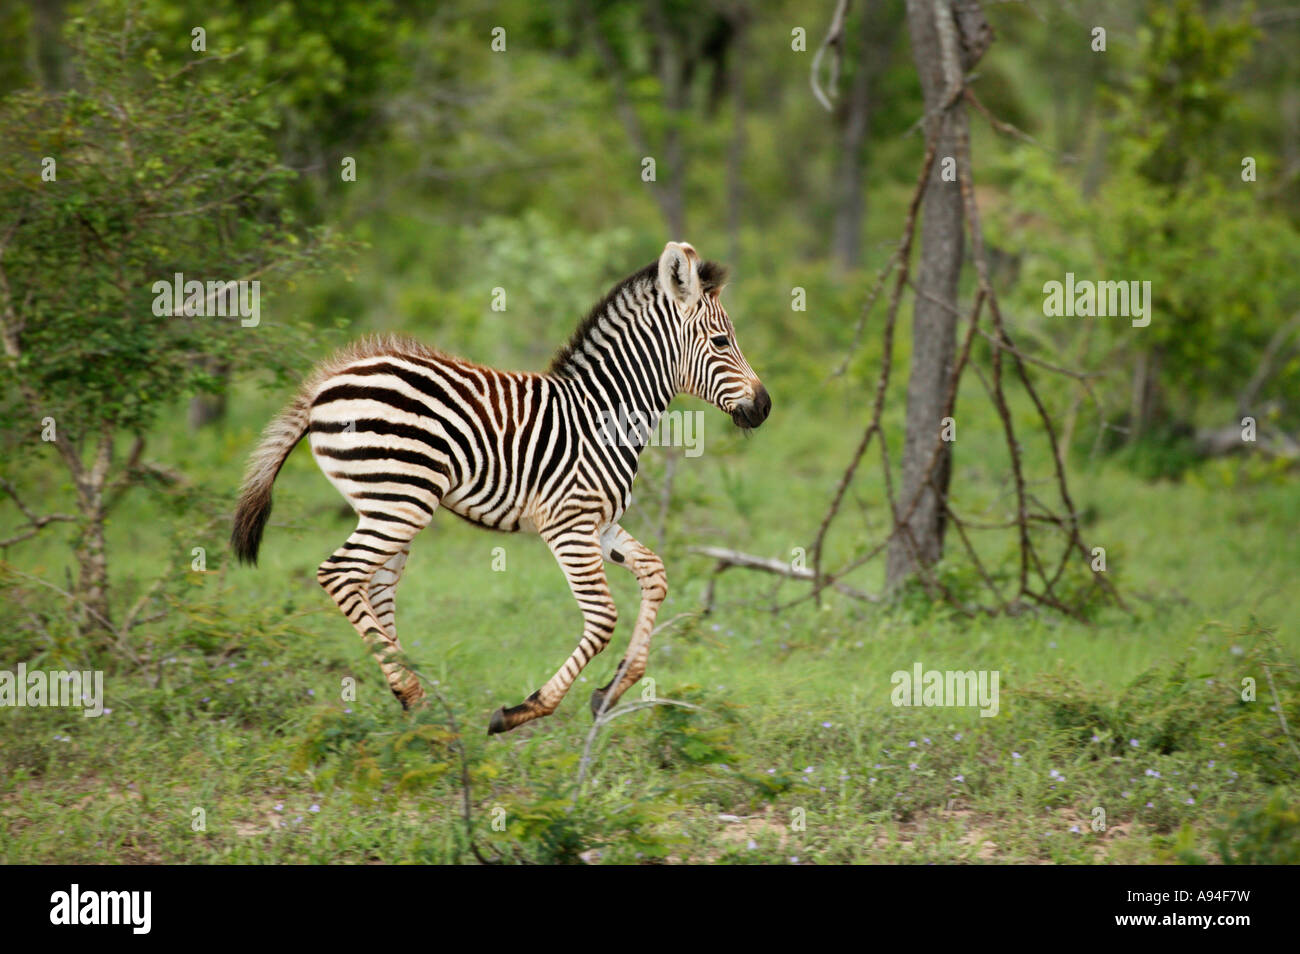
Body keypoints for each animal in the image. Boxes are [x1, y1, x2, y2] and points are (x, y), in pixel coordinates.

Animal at [231, 242, 770, 734]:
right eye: (721, 342)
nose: (764, 407)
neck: (604, 414)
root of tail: (324, 382)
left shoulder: (599, 523)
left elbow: (655, 574)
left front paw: (613, 688)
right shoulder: (568, 524)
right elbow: (601, 619)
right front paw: (523, 711)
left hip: (387, 502)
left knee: (376, 586)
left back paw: (414, 704)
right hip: (401, 500)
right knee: (340, 574)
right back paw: (413, 695)